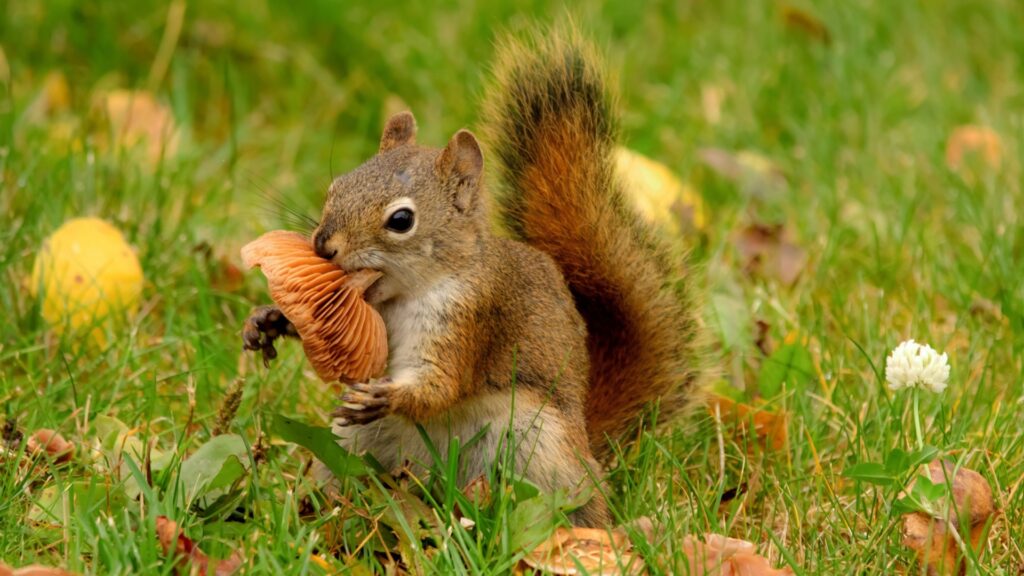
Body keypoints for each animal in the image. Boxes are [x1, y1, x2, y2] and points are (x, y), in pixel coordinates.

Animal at [242, 28, 703, 526]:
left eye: (401, 220)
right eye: (336, 187)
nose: (324, 245)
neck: (411, 291)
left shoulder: (473, 317)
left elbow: (441, 385)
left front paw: (387, 397)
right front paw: (268, 320)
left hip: (543, 450)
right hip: (351, 446)